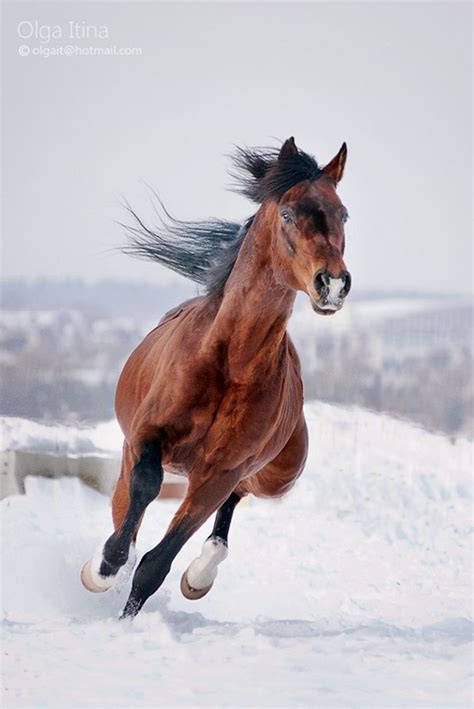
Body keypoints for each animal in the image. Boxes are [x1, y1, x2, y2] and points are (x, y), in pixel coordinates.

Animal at [81, 137, 351, 618]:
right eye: (287, 213)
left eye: (343, 214)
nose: (333, 285)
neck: (231, 363)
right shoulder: (145, 439)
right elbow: (143, 491)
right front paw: (102, 568)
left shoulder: (220, 473)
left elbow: (156, 564)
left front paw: (128, 617)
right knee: (128, 506)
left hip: (276, 477)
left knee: (234, 503)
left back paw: (200, 575)